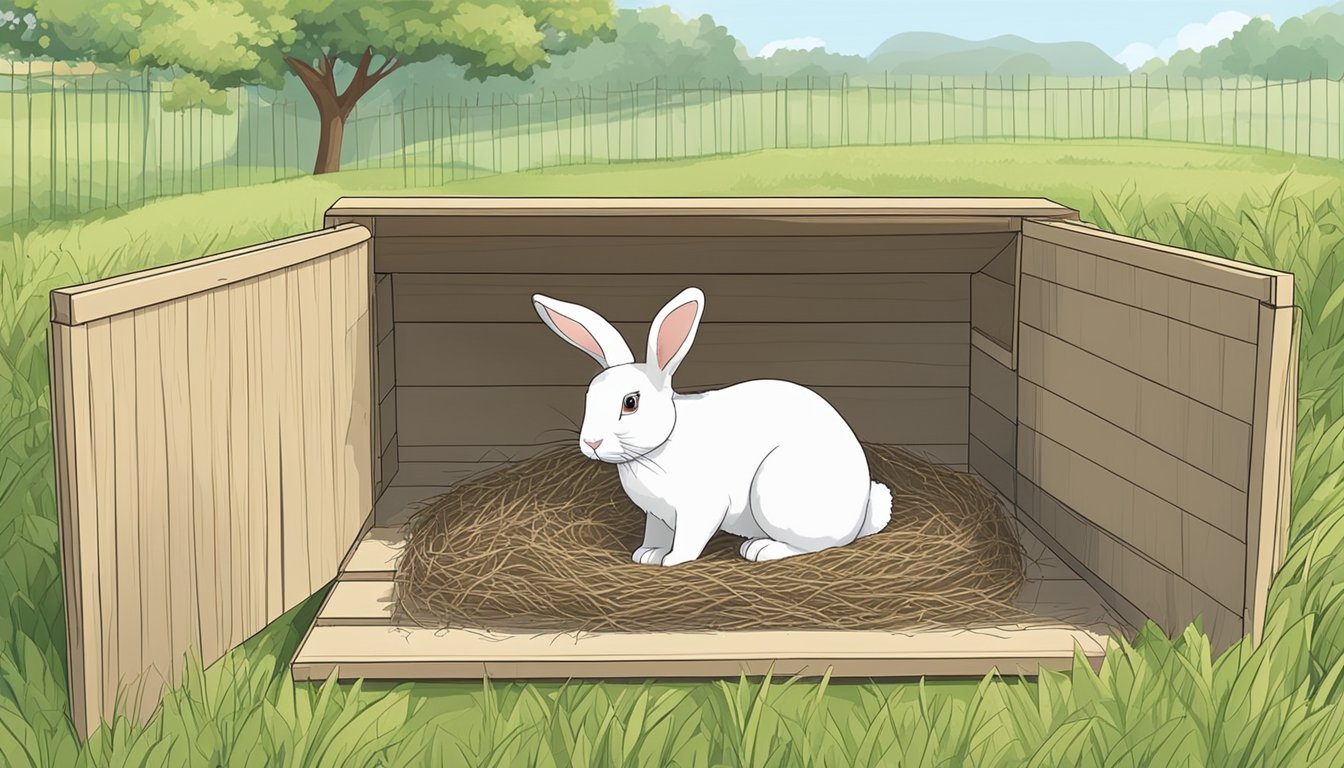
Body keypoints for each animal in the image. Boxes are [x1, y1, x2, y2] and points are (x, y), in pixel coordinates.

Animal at [531, 286, 893, 567]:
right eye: (589, 396)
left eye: (630, 403)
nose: (591, 443)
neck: (658, 448)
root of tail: (862, 513)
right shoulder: (658, 516)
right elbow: (656, 534)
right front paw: (647, 555)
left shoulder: (701, 507)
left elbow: (690, 539)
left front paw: (672, 560)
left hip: (777, 496)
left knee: (819, 545)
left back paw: (761, 549)